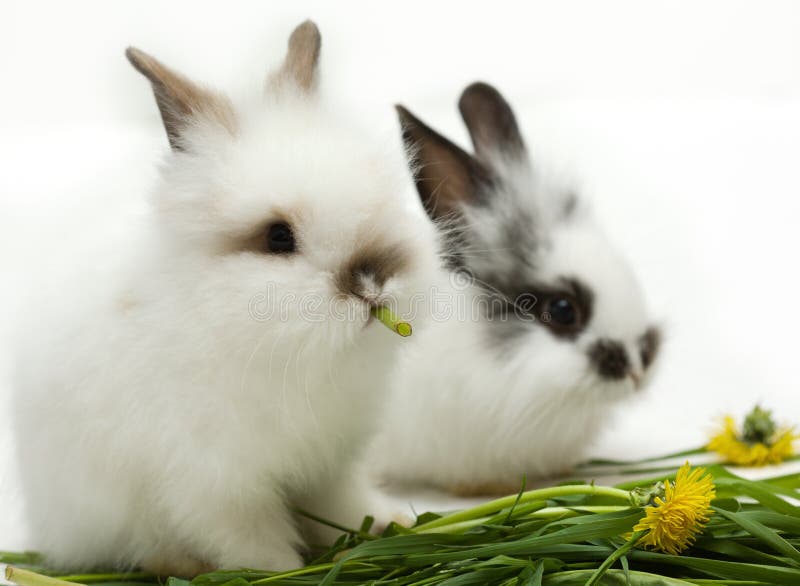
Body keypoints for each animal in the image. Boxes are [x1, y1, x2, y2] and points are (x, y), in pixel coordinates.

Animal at [11, 21, 441, 575]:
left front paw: (388, 524)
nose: (372, 282)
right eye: (277, 236)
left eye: (386, 199)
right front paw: (285, 571)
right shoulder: (216, 482)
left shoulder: (330, 462)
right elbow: (247, 538)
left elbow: (342, 506)